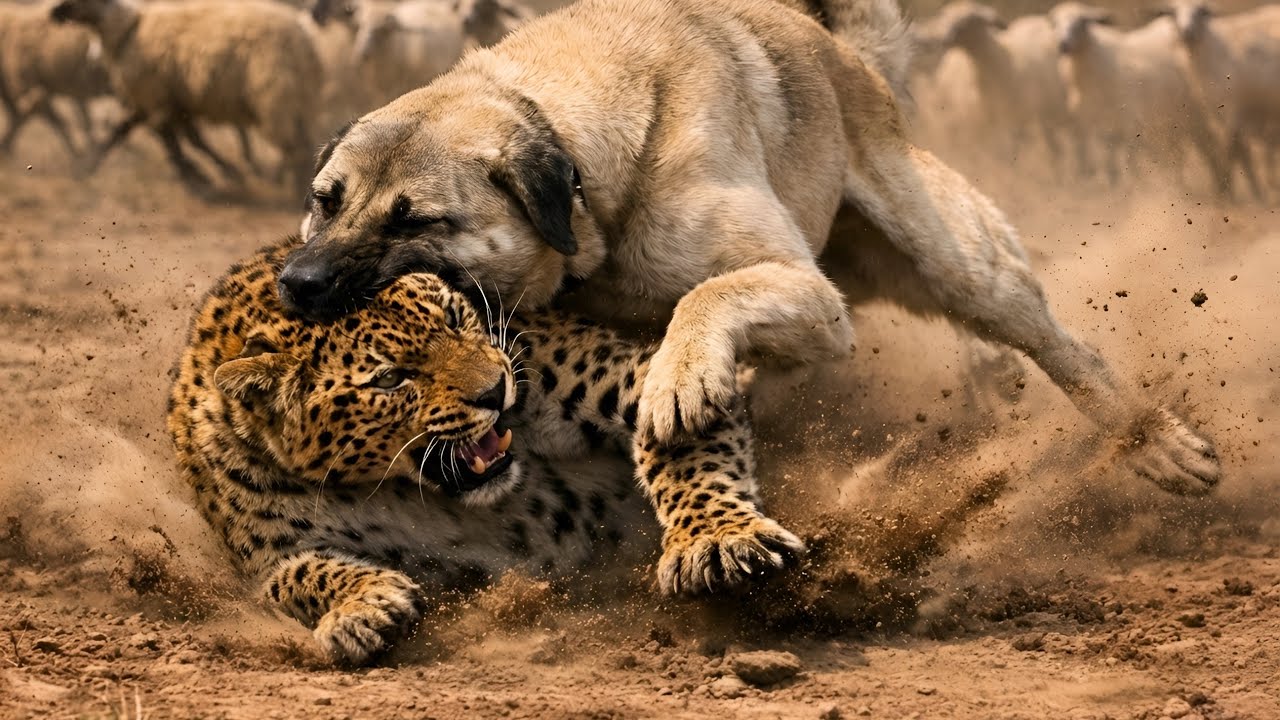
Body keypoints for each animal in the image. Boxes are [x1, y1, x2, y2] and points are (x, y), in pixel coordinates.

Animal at [167, 236, 803, 665]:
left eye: (454, 317)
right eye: (391, 379)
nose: (495, 390)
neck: (404, 490)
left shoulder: (632, 377)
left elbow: (680, 443)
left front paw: (717, 543)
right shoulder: (267, 553)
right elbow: (300, 576)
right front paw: (364, 610)